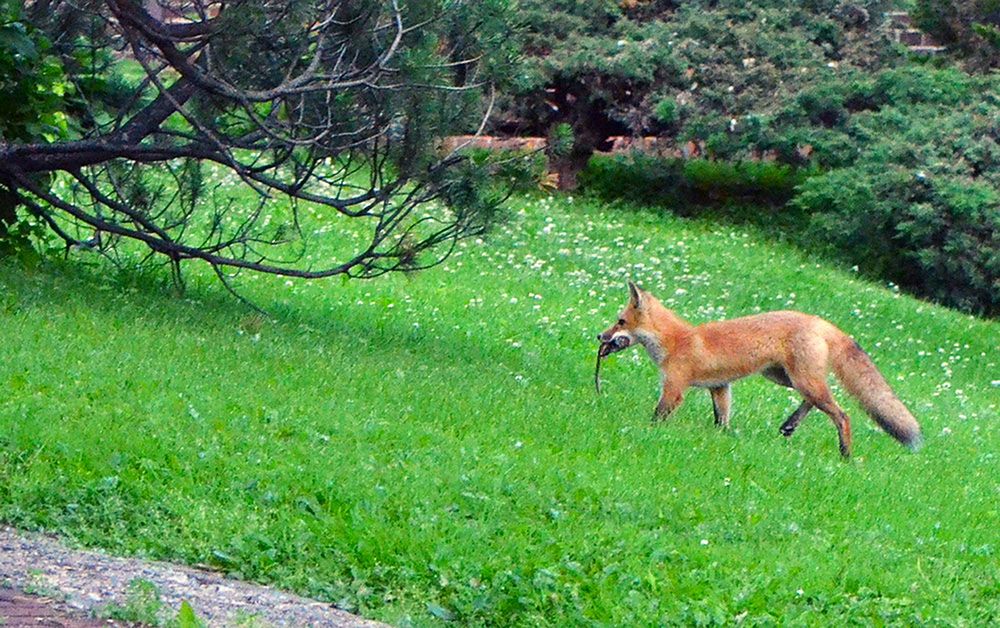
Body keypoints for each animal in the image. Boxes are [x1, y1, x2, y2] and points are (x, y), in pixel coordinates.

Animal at [598, 282, 922, 457]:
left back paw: (845, 454)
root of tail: (820, 321)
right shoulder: (720, 388)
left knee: (842, 414)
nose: (600, 336)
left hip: (801, 380)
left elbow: (657, 415)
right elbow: (722, 419)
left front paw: (646, 431)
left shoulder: (675, 388)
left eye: (620, 321)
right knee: (818, 402)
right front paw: (724, 438)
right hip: (785, 377)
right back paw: (790, 425)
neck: (677, 340)